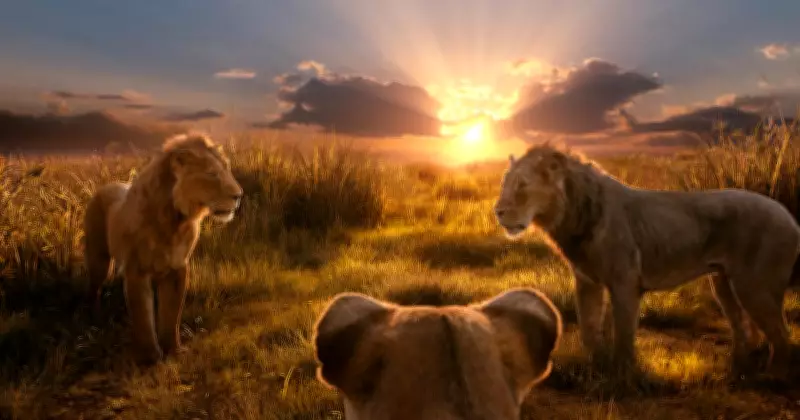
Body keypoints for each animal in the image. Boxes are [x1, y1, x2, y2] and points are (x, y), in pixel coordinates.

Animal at [82, 132, 243, 364]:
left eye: (226, 169)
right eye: (212, 174)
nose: (239, 196)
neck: (174, 221)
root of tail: (107, 185)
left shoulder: (177, 268)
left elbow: (171, 314)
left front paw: (174, 351)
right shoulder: (136, 271)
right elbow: (143, 317)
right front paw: (151, 356)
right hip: (98, 259)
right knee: (93, 288)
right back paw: (94, 321)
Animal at [494, 143, 800, 380]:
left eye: (522, 185)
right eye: (504, 184)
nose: (497, 211)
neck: (572, 214)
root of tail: (789, 216)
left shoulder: (625, 282)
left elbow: (623, 334)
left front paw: (622, 377)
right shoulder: (587, 282)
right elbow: (588, 329)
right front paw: (594, 369)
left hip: (754, 286)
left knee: (781, 335)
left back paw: (773, 377)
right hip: (724, 283)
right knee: (745, 328)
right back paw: (738, 371)